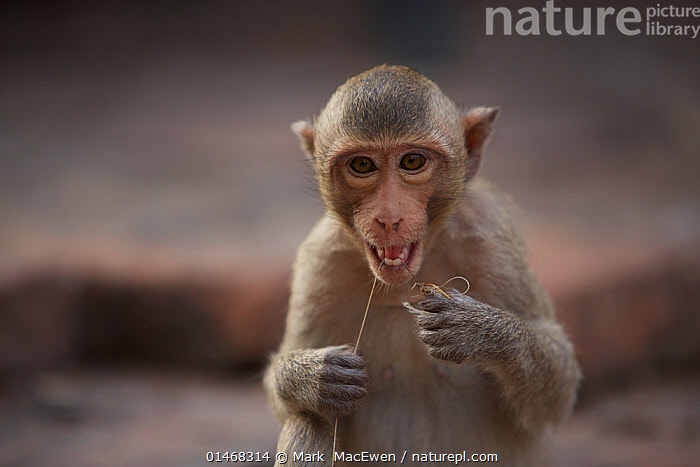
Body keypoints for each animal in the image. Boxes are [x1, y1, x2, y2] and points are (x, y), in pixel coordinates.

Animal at [264, 65, 581, 466]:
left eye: (412, 161)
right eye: (362, 165)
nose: (388, 218)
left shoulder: (495, 243)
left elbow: (557, 395)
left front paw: (480, 330)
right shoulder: (320, 261)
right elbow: (288, 400)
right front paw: (310, 378)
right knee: (309, 418)